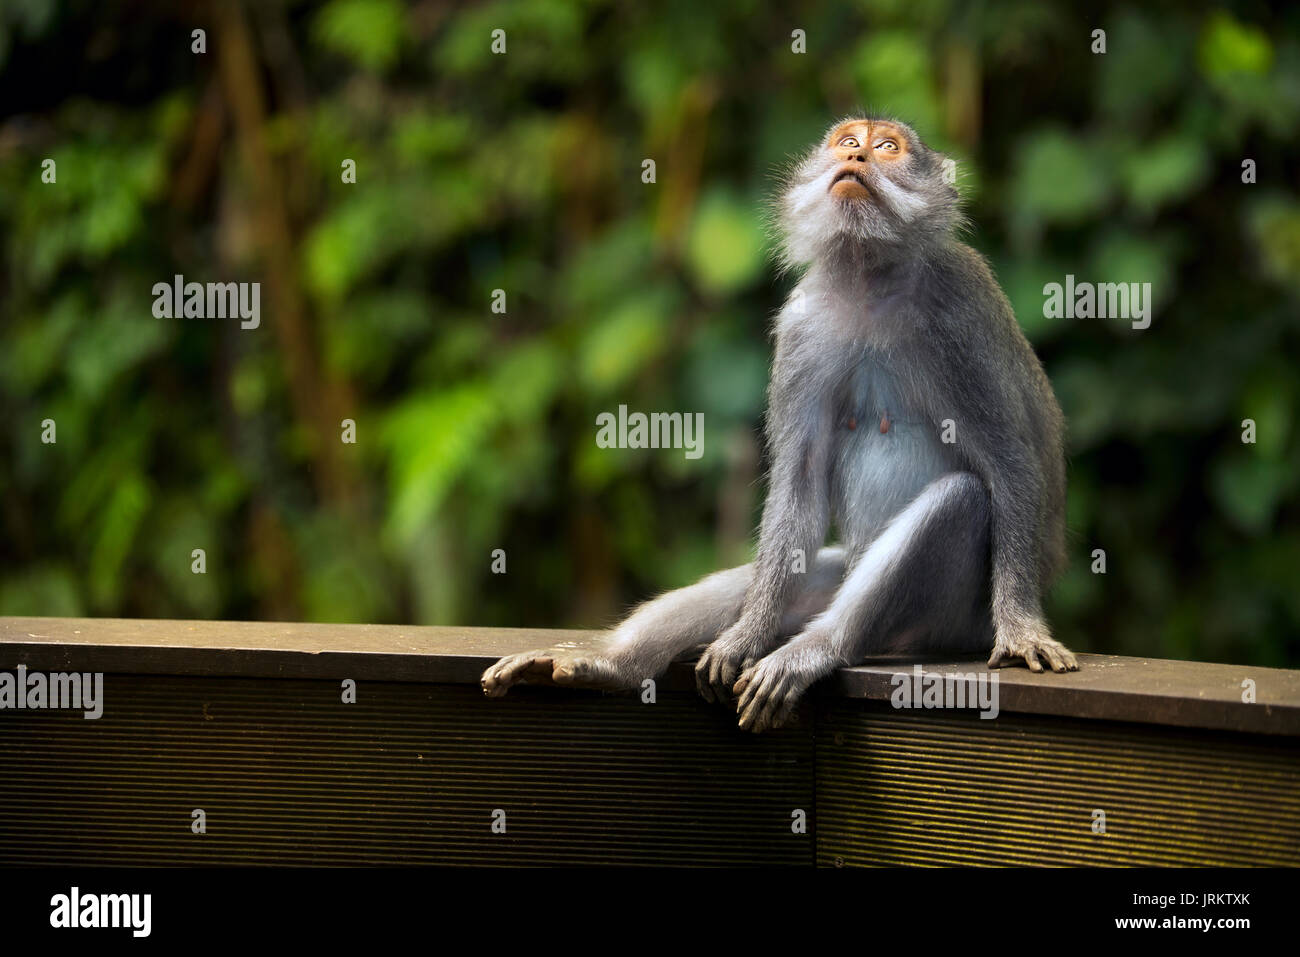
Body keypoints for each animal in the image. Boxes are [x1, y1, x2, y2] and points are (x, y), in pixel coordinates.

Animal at [482, 115, 1078, 732]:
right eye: (848, 141)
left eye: (888, 148)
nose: (858, 157)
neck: (869, 282)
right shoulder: (801, 325)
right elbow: (800, 481)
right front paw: (744, 636)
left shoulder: (960, 314)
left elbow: (1010, 463)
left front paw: (1021, 630)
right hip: (837, 573)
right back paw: (619, 664)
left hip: (953, 619)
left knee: (960, 500)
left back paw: (816, 650)